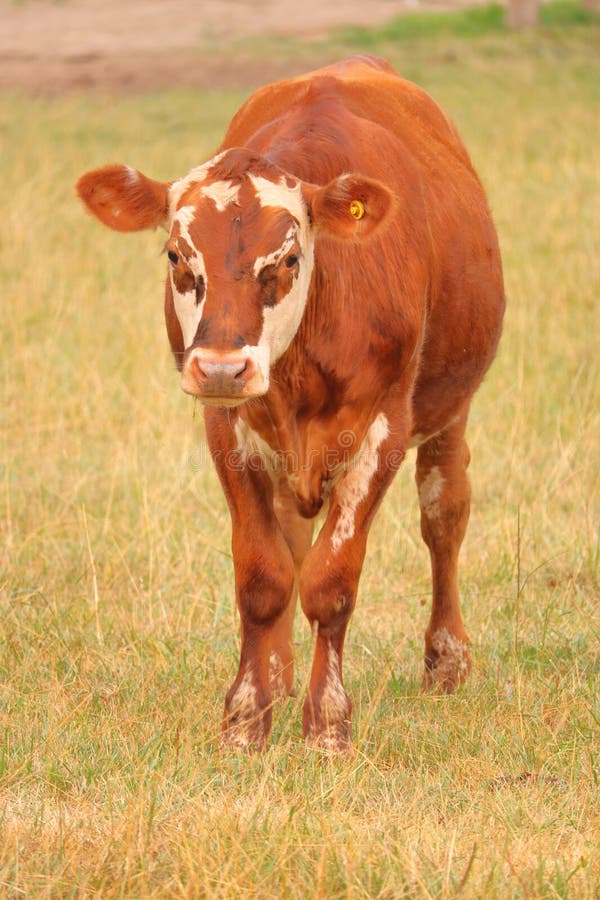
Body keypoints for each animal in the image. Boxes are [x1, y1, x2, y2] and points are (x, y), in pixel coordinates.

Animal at [77, 56, 505, 752]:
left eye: (288, 258)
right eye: (177, 255)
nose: (222, 367)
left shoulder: (385, 430)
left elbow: (332, 580)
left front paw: (328, 724)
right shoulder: (226, 428)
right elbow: (264, 575)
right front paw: (248, 715)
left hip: (450, 412)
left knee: (444, 517)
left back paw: (446, 661)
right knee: (292, 537)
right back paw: (278, 673)